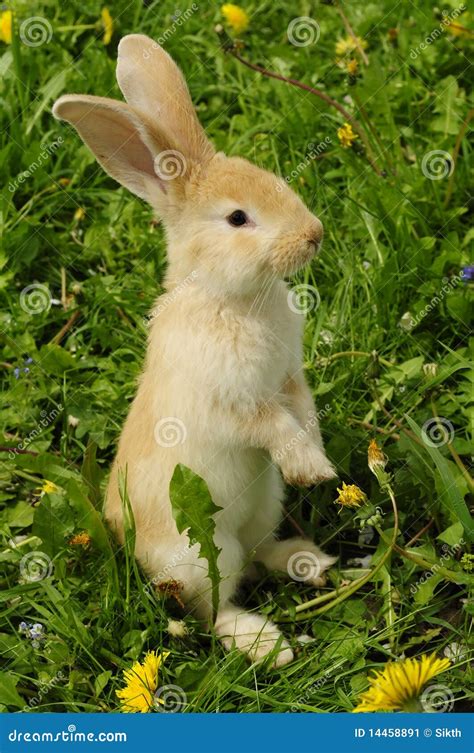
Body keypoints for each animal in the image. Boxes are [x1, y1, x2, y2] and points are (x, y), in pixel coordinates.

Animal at [53, 33, 337, 668]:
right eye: (237, 218)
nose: (313, 234)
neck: (229, 299)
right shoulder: (233, 401)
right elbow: (273, 426)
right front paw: (313, 467)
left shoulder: (290, 377)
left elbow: (301, 410)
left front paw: (318, 460)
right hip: (204, 551)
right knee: (213, 607)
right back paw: (265, 643)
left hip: (262, 507)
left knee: (259, 556)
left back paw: (309, 562)